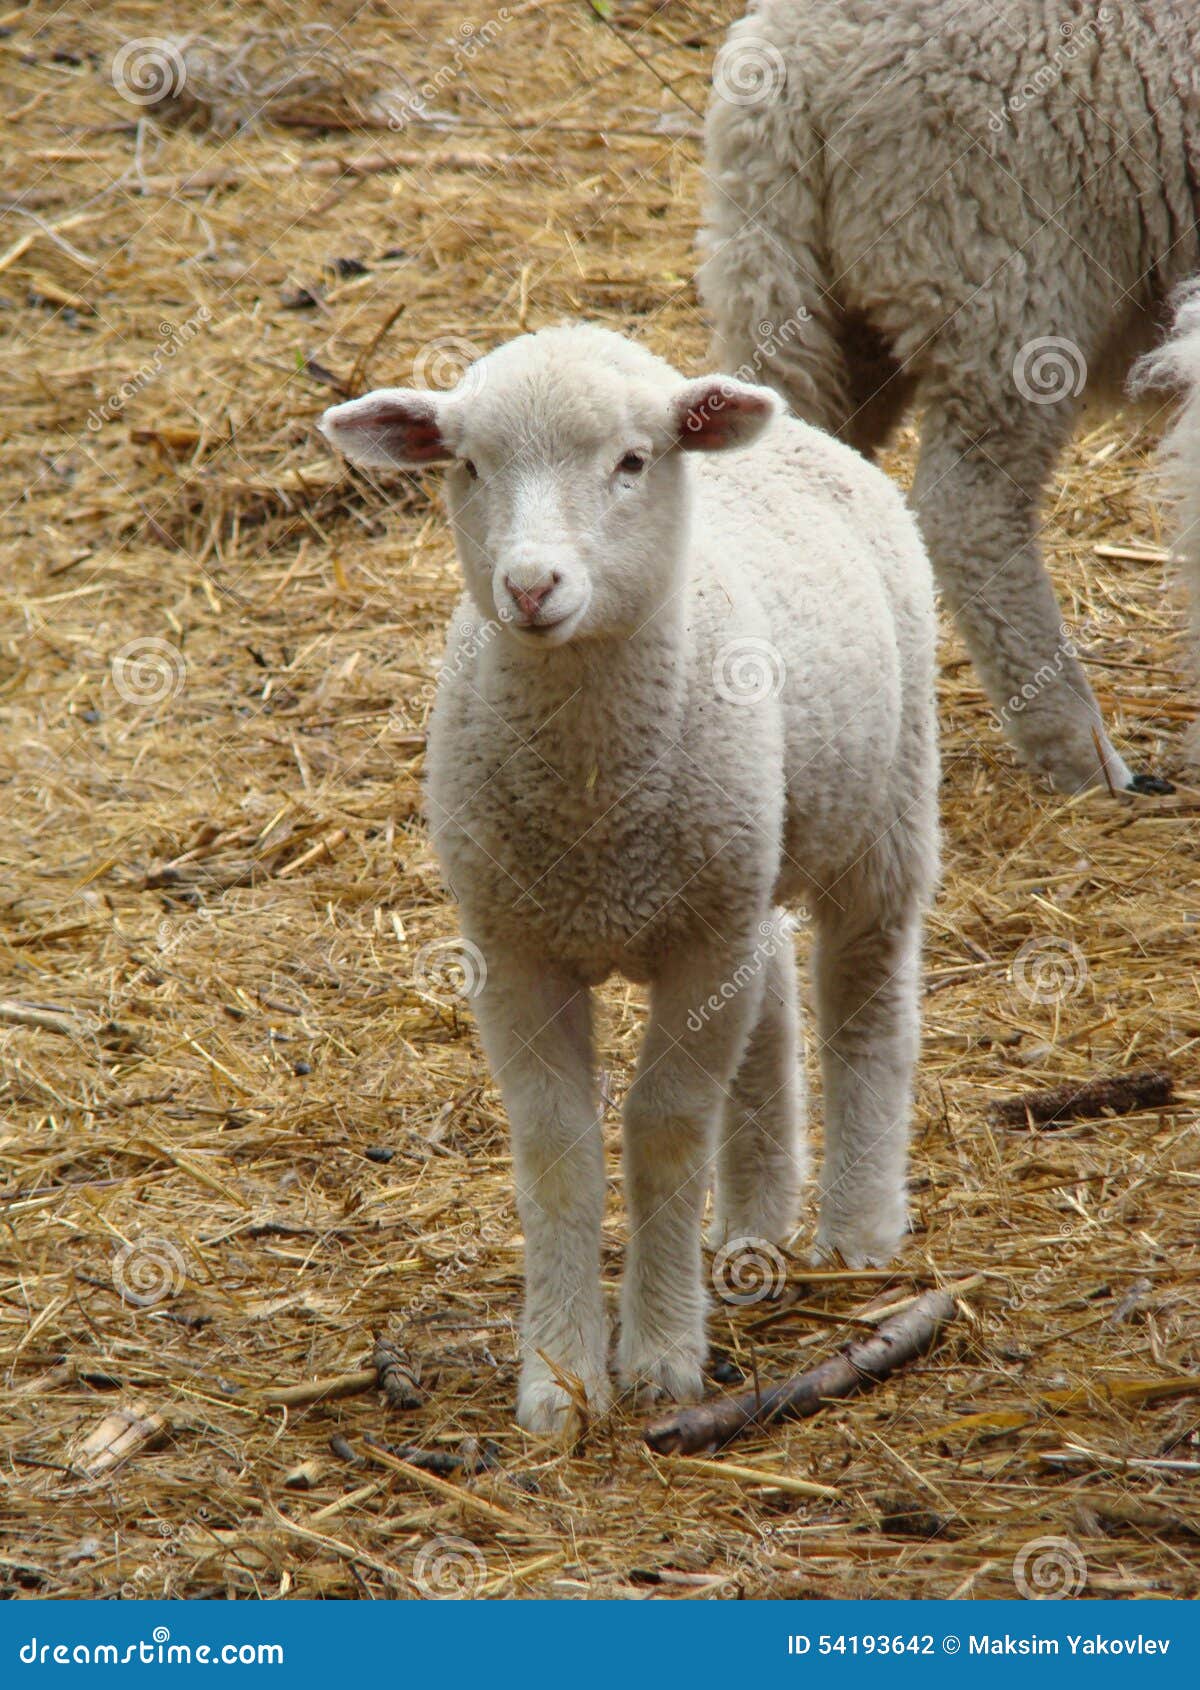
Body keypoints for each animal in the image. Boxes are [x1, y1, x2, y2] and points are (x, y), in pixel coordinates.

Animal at [319, 324, 939, 1434]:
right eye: (468, 466)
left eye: (633, 461)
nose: (531, 586)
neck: (593, 809)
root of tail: (792, 426)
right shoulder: (516, 946)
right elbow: (559, 1147)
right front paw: (560, 1376)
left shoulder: (696, 945)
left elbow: (662, 1131)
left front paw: (658, 1357)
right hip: (742, 862)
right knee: (773, 1000)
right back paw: (753, 1223)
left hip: (884, 807)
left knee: (867, 1000)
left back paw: (859, 1226)